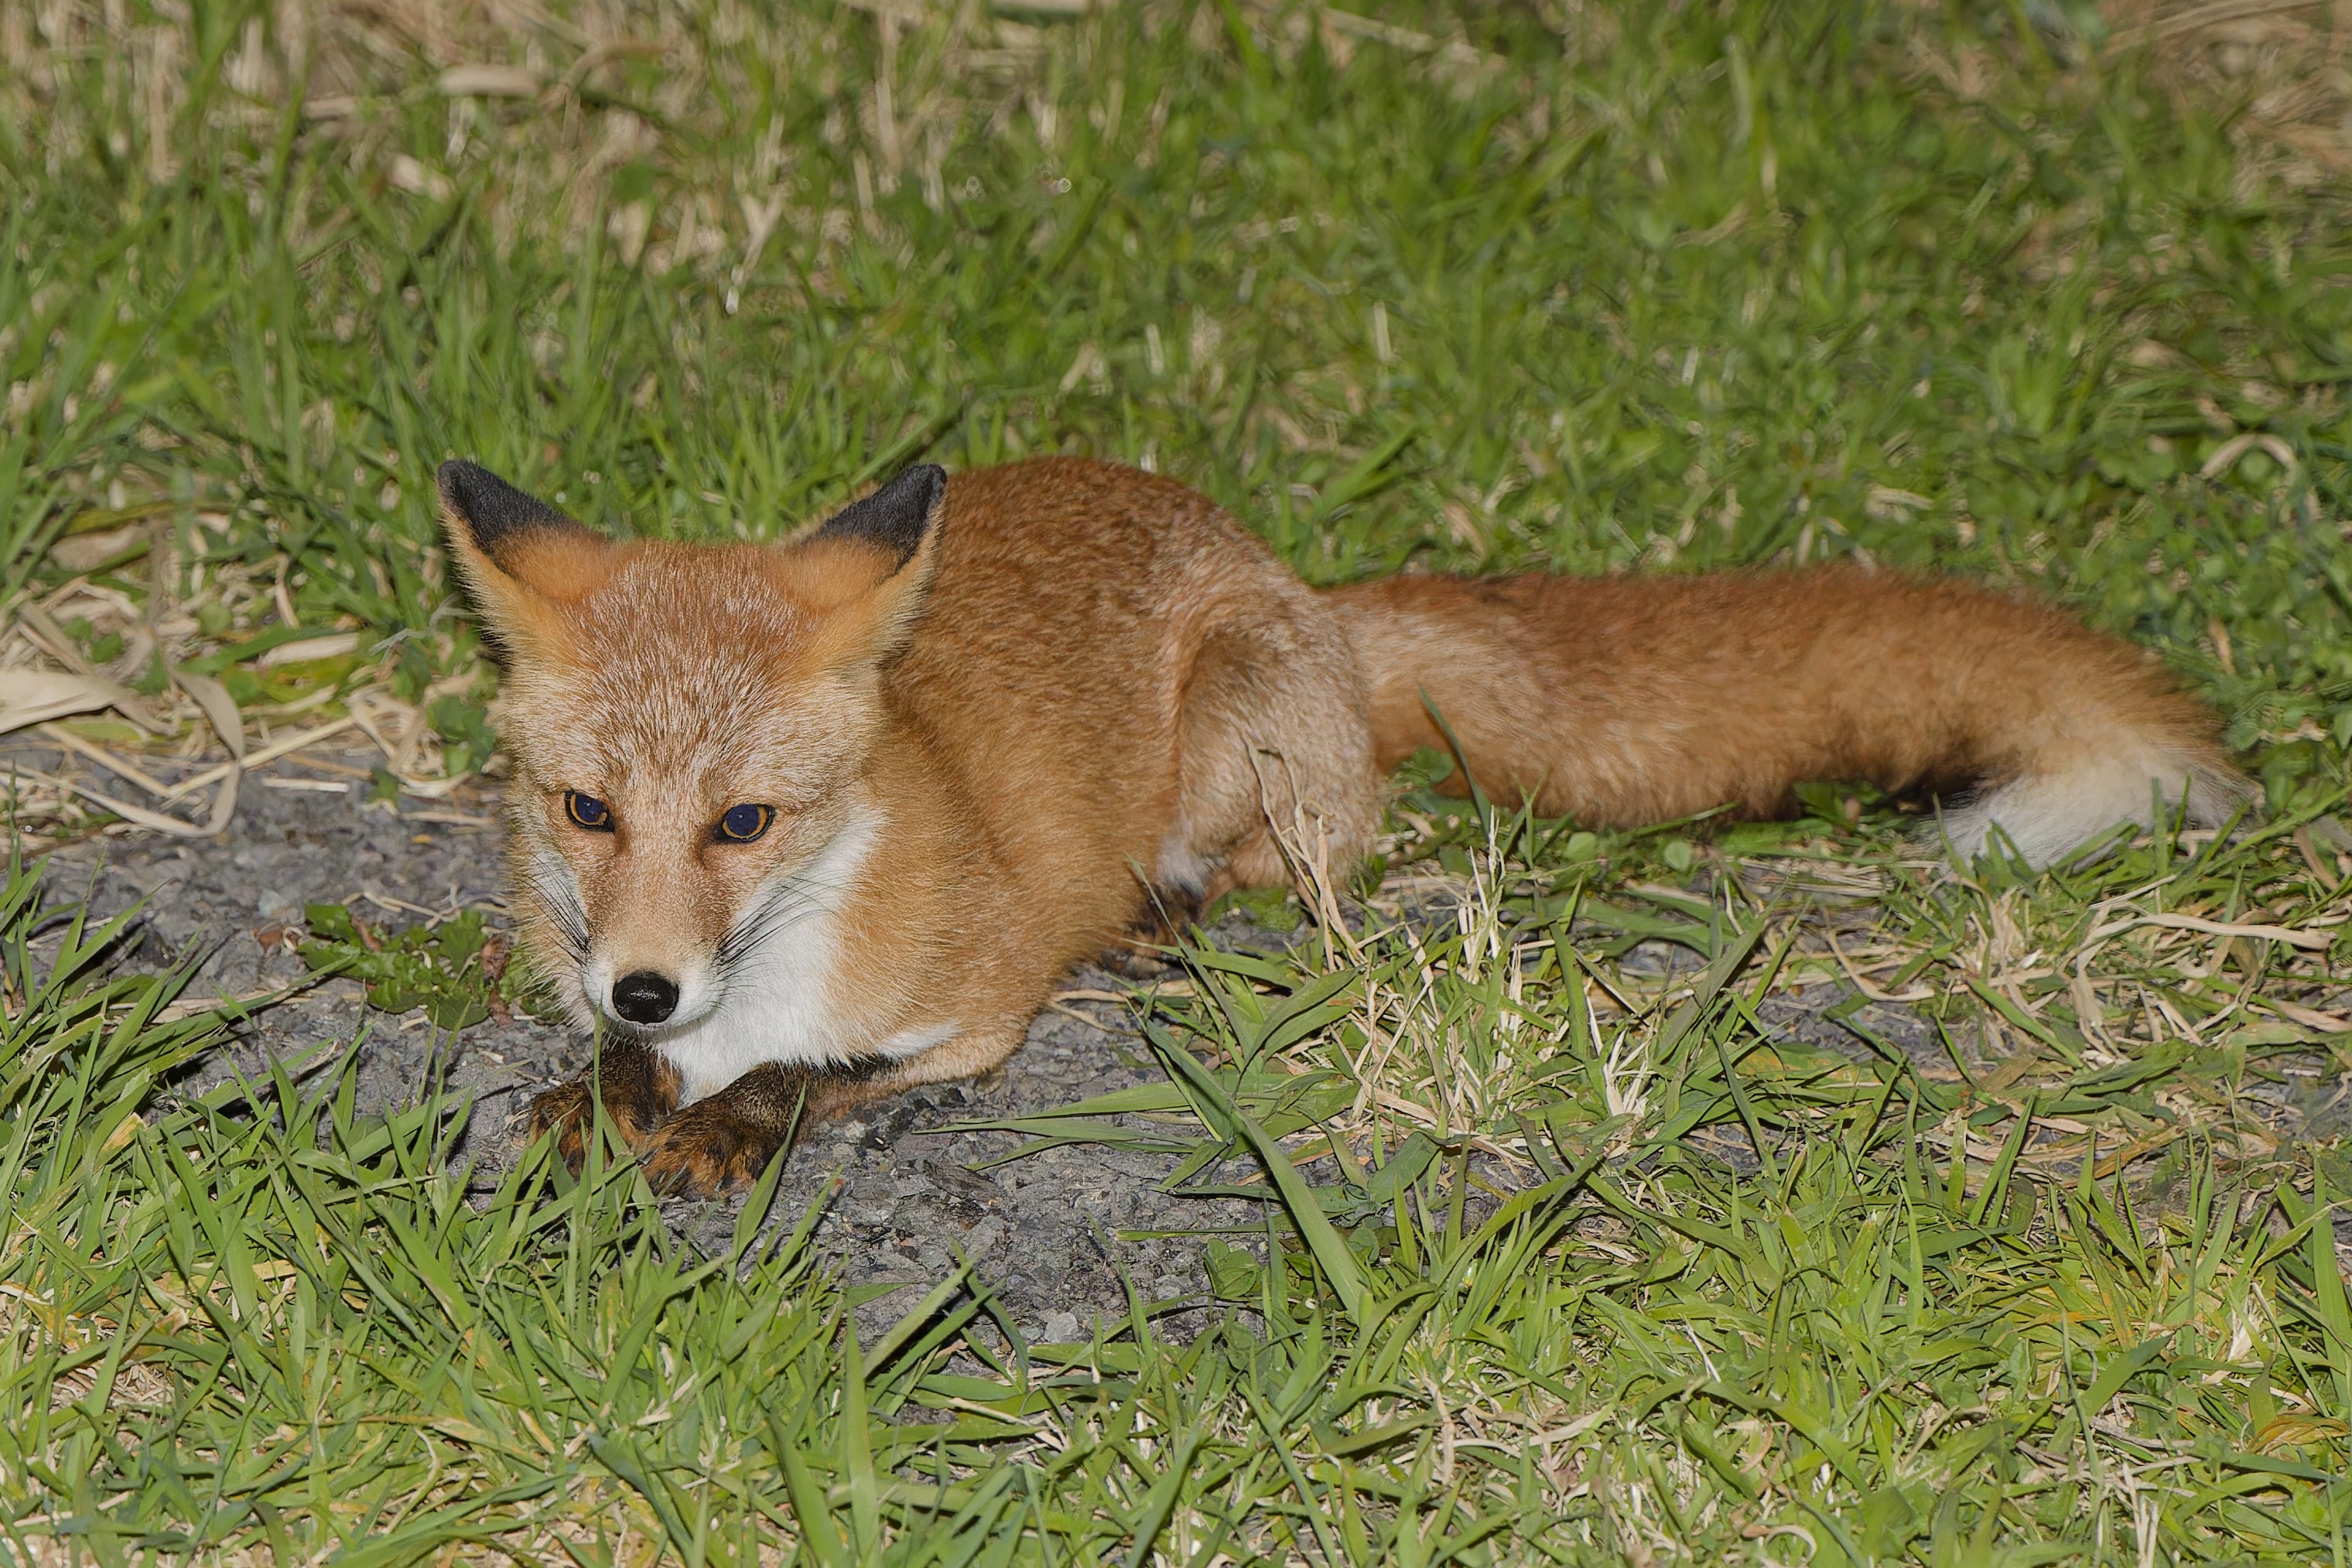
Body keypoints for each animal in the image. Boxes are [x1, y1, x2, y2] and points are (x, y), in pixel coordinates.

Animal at [438, 455, 2244, 1196]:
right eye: (587, 810)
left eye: (745, 820)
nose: (648, 987)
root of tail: (1308, 588)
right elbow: (617, 1068)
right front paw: (604, 1087)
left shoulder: (977, 998)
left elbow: (819, 1074)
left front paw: (727, 1119)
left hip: (1233, 728)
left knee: (1278, 864)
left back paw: (1166, 921)